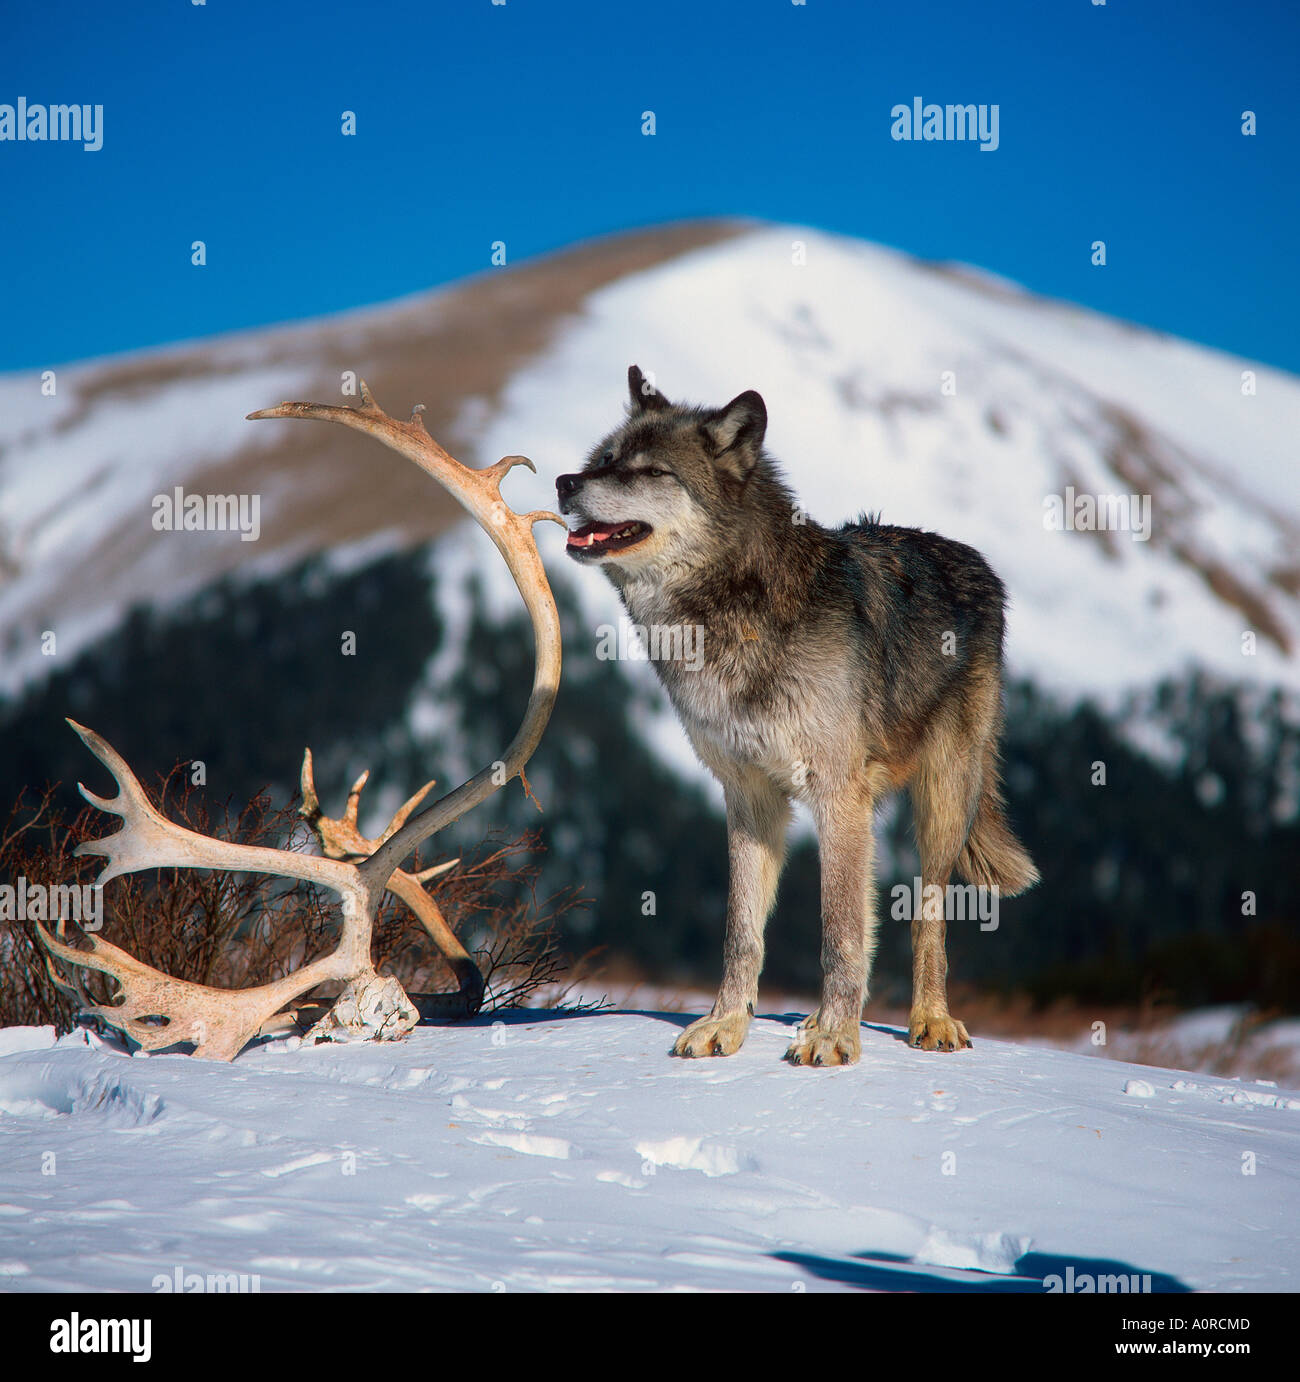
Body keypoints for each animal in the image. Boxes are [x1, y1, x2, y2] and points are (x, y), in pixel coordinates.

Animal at [556, 366, 1038, 1066]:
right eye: (602, 461)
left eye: (648, 471)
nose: (564, 483)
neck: (735, 612)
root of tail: (978, 563)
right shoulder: (748, 796)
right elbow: (741, 933)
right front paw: (725, 1025)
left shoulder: (838, 794)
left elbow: (840, 931)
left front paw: (836, 1037)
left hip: (944, 800)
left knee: (928, 918)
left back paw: (929, 1021)